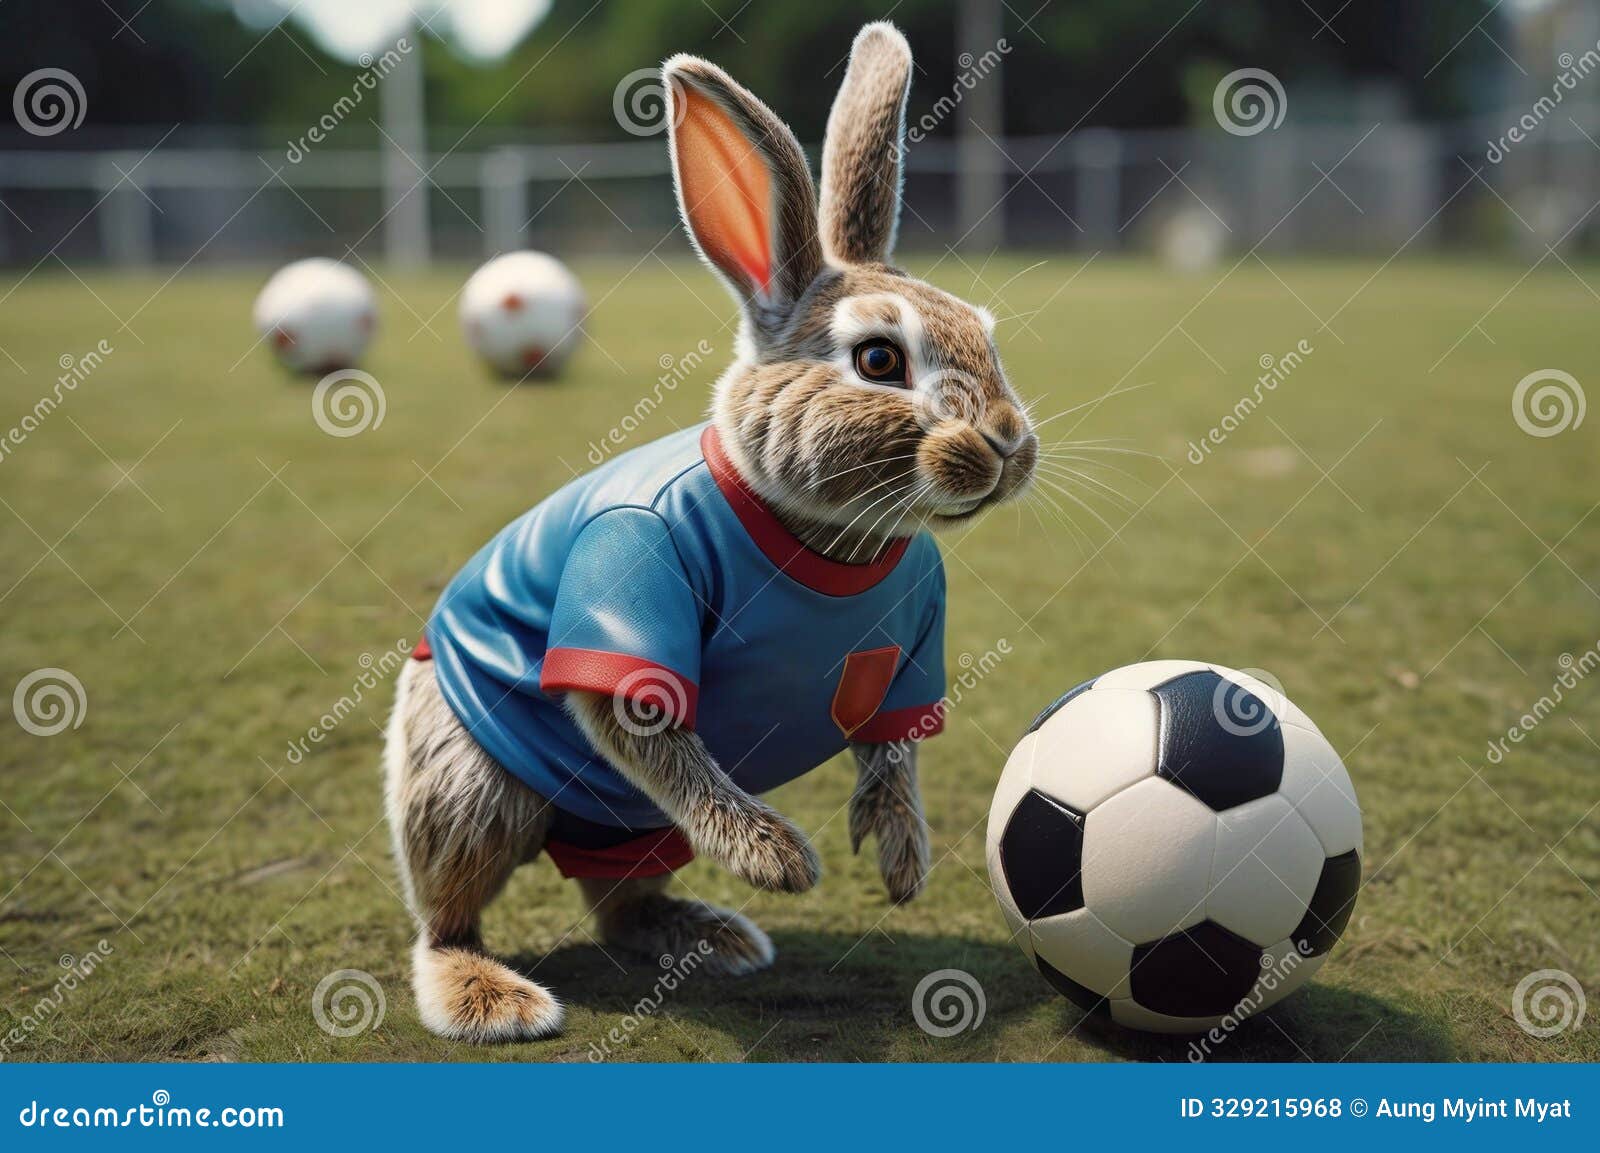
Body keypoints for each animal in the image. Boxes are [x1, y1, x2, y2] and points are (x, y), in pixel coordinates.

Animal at [383, 21, 1038, 1044]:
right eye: (878, 359)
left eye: (986, 335)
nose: (1010, 446)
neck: (820, 534)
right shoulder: (629, 583)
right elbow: (653, 729)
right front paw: (781, 860)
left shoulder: (910, 655)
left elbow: (894, 747)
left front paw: (901, 864)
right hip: (468, 783)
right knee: (450, 905)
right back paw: (489, 997)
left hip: (629, 831)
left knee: (618, 902)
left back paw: (711, 935)